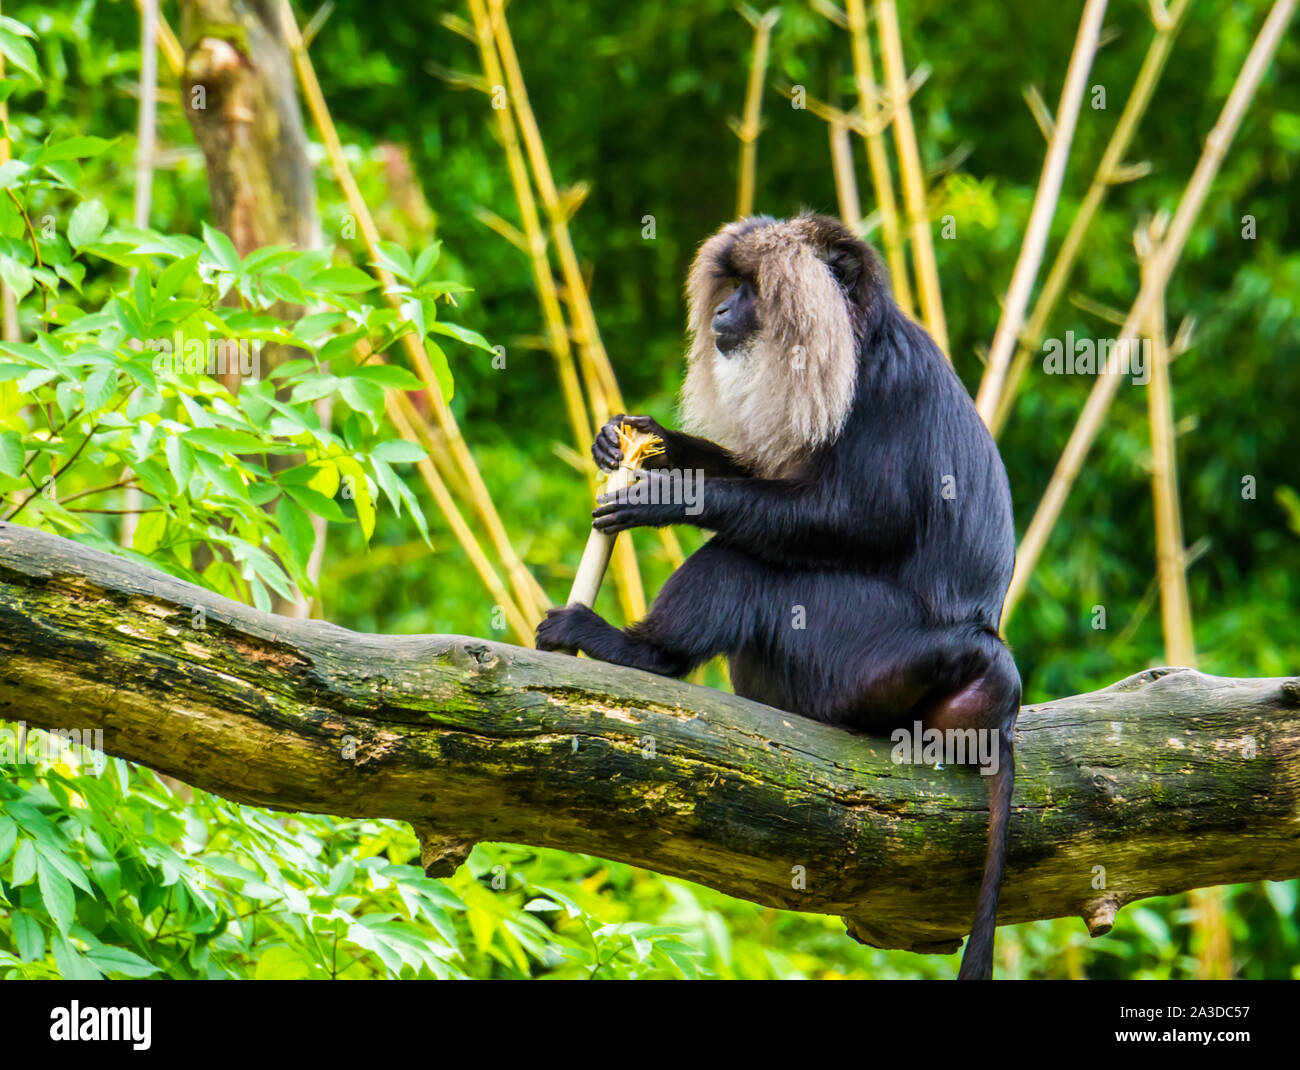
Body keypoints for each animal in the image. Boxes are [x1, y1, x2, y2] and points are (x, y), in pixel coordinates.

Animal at [535, 214, 1020, 980]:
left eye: (754, 291)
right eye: (730, 287)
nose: (724, 314)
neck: (861, 343)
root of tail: (984, 659)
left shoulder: (886, 387)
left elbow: (857, 518)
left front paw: (673, 496)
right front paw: (640, 440)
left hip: (864, 657)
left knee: (747, 565)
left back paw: (635, 652)